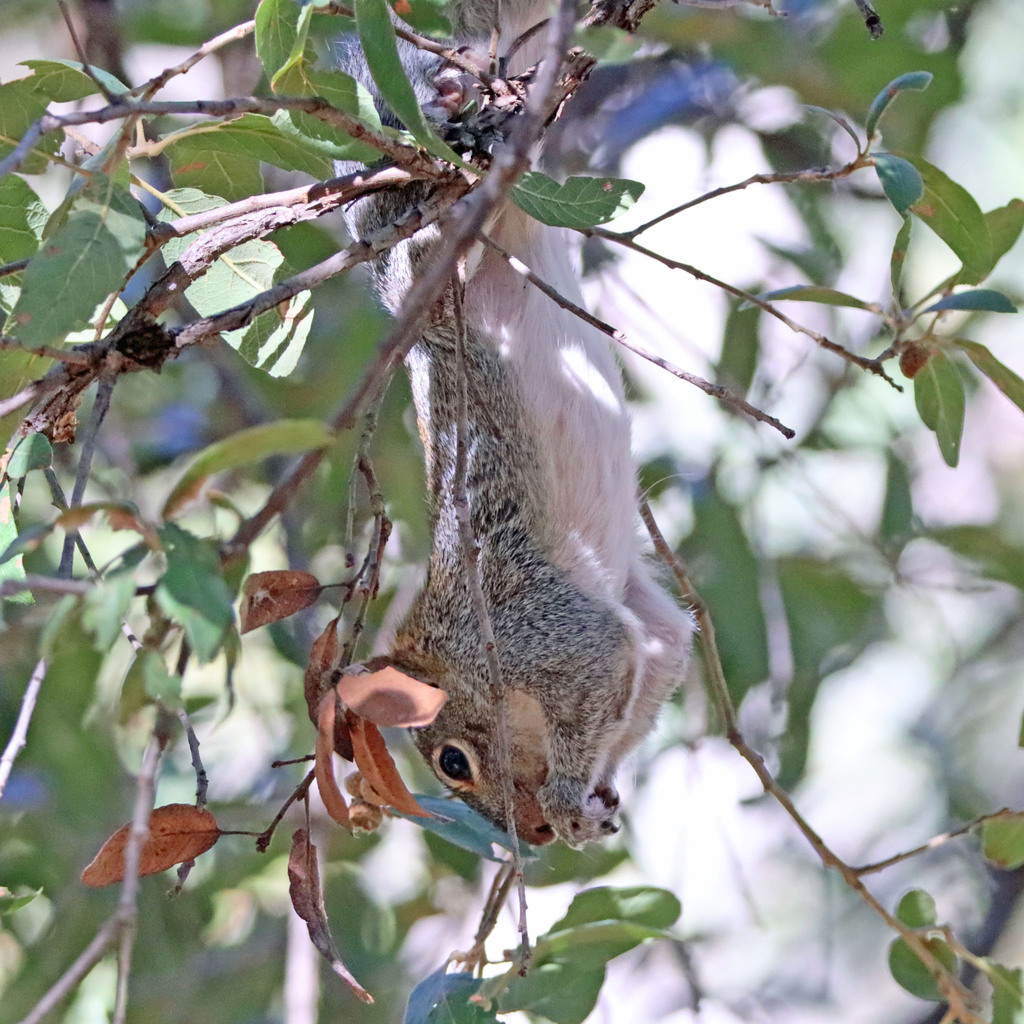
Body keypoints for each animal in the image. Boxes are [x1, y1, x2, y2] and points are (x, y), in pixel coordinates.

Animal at [341, 0, 693, 847]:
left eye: (452, 762)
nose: (524, 834)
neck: (462, 654)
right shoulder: (639, 628)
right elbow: (656, 663)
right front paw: (592, 802)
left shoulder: (530, 629)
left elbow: (601, 663)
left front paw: (565, 798)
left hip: (435, 253)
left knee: (412, 225)